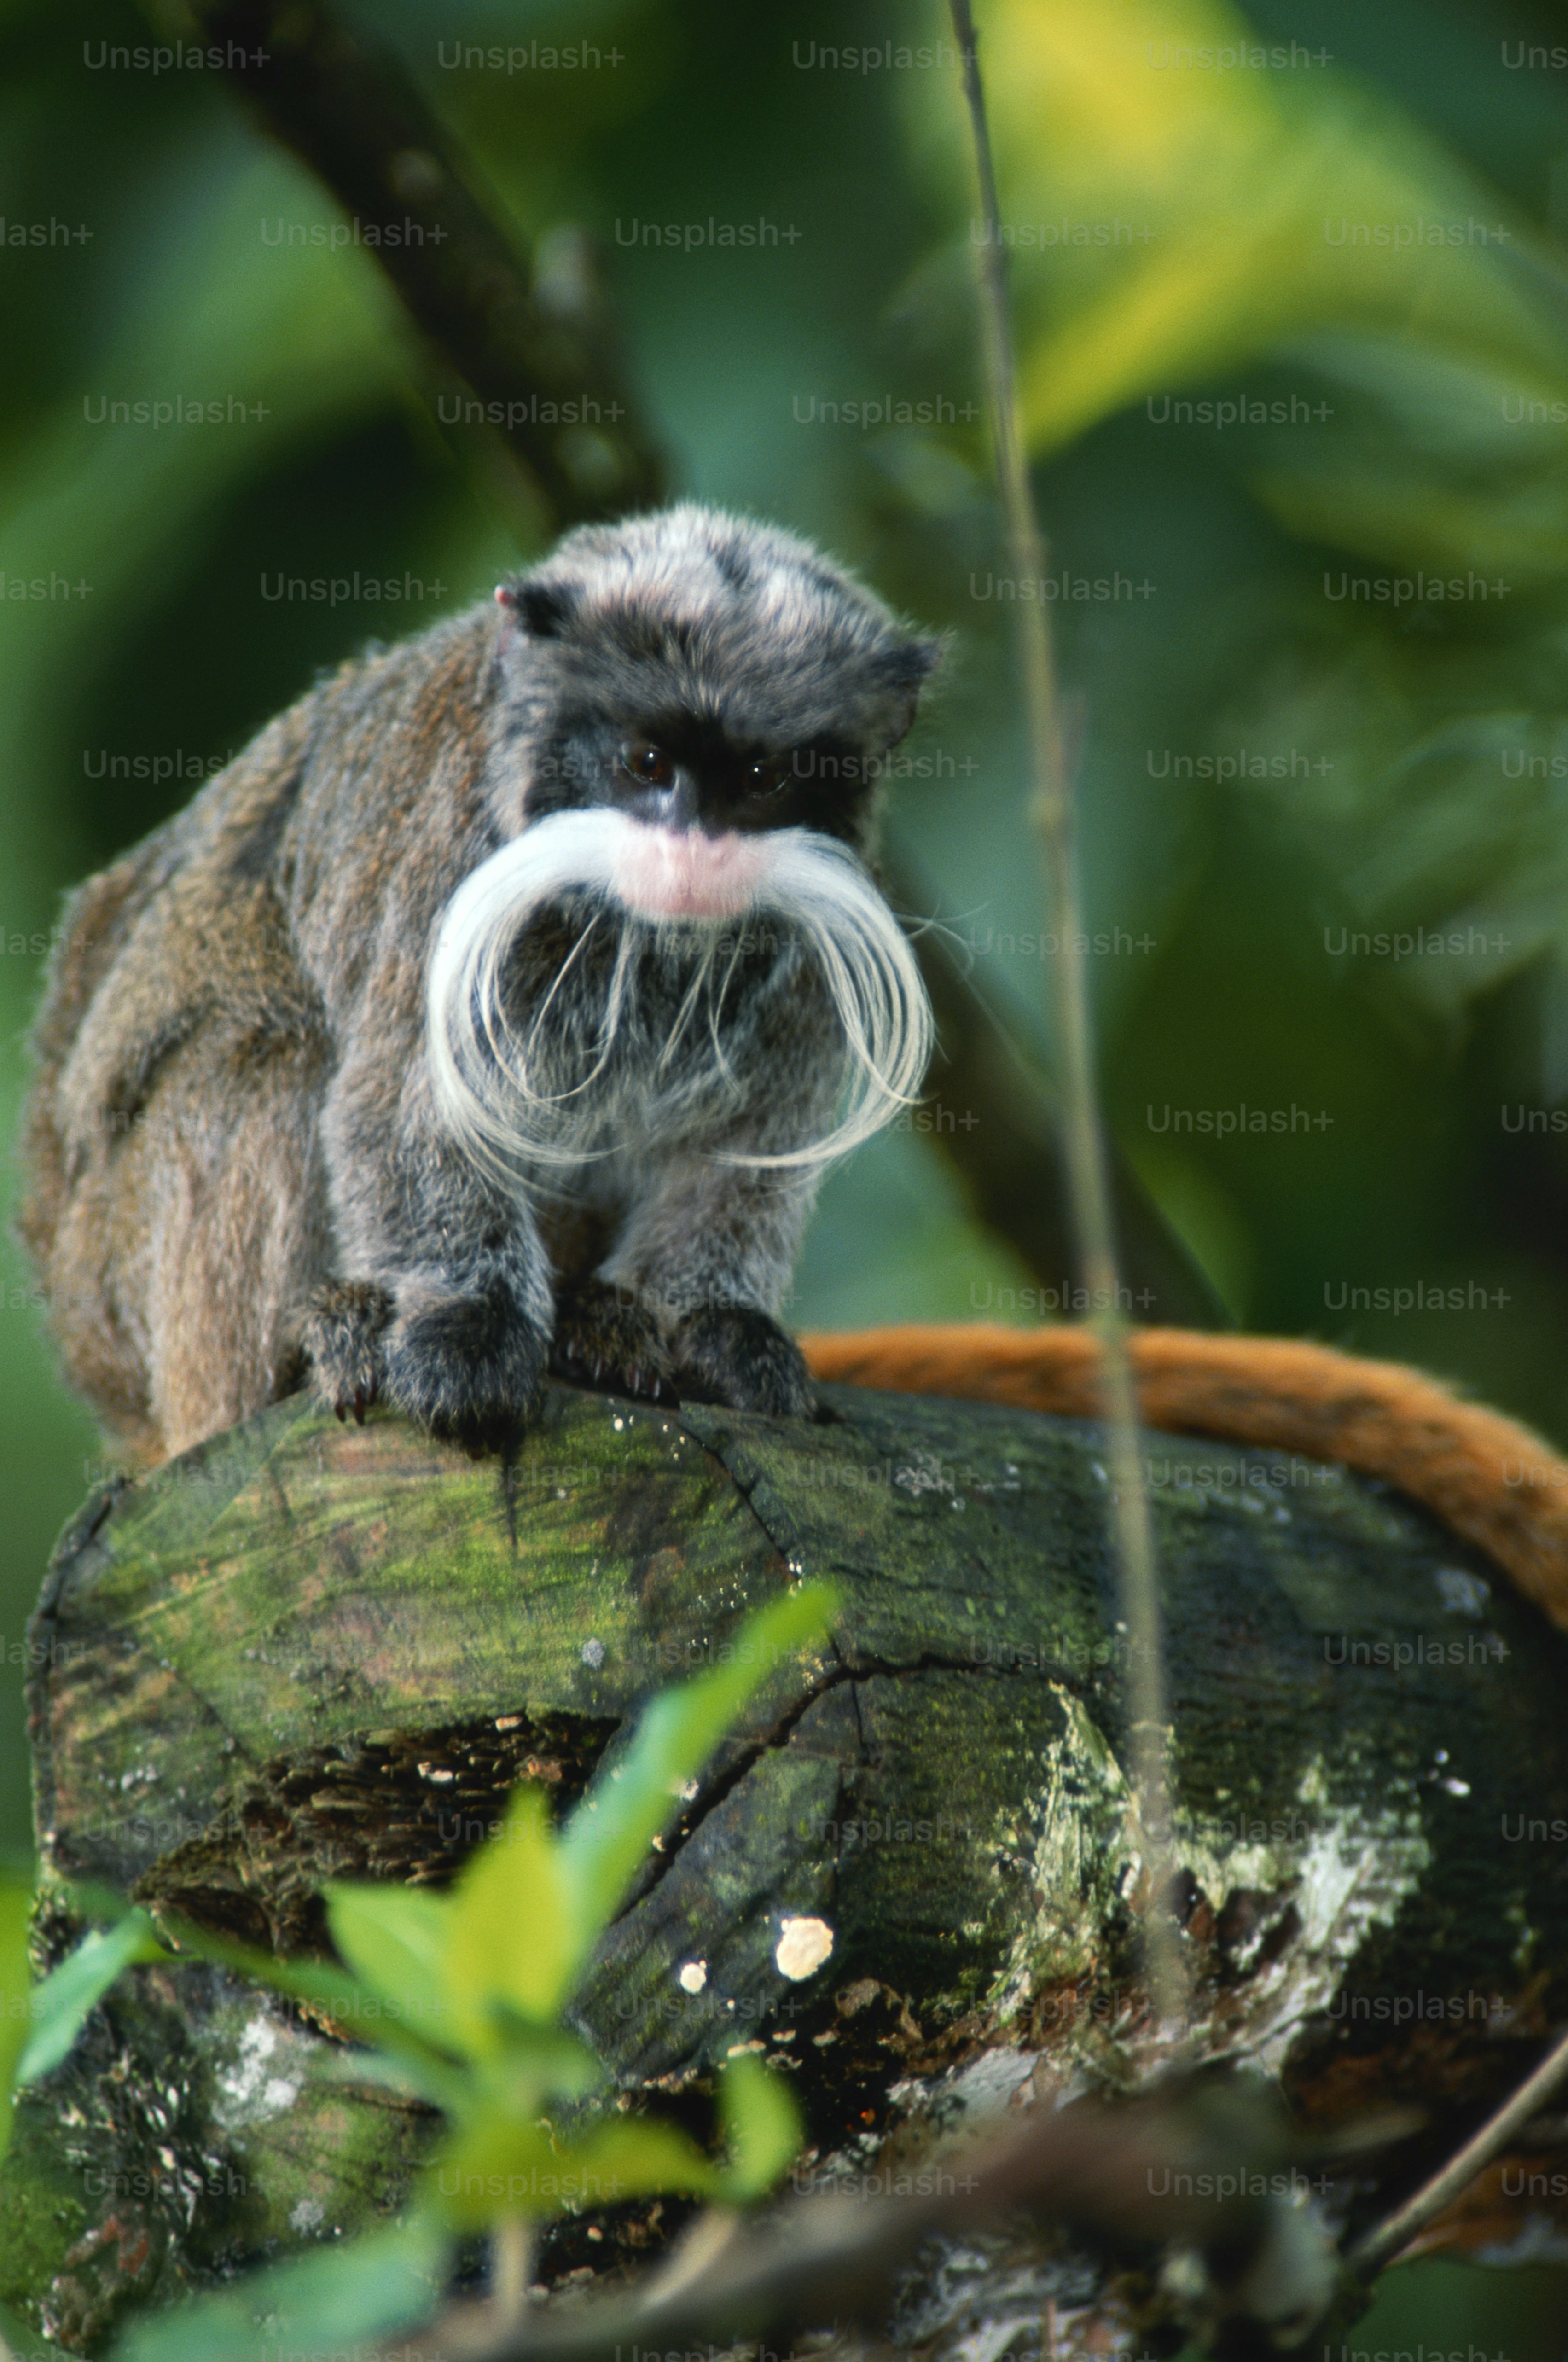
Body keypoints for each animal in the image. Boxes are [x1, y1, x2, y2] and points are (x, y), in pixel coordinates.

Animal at [18, 505, 936, 1463]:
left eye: (761, 778)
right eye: (646, 763)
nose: (694, 853)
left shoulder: (815, 941)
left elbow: (746, 1149)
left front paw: (708, 1325)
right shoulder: (448, 864)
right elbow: (403, 1102)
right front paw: (469, 1328)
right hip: (123, 1285)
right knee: (267, 1058)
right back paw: (318, 1343)